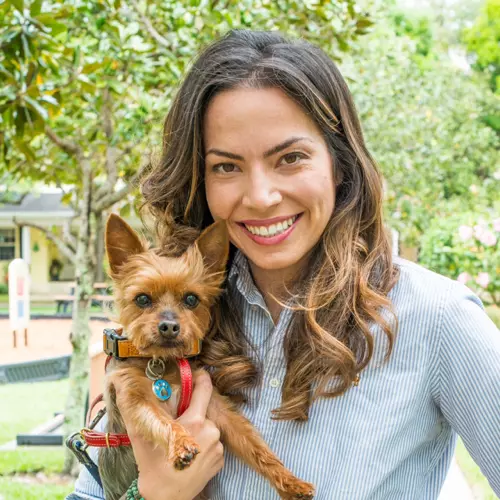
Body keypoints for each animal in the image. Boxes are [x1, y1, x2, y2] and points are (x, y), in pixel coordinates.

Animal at [99, 217, 314, 500]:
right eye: (142, 299)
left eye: (191, 299)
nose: (169, 326)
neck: (166, 362)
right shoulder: (134, 399)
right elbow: (162, 420)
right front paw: (182, 445)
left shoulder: (217, 407)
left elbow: (254, 444)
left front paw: (291, 482)